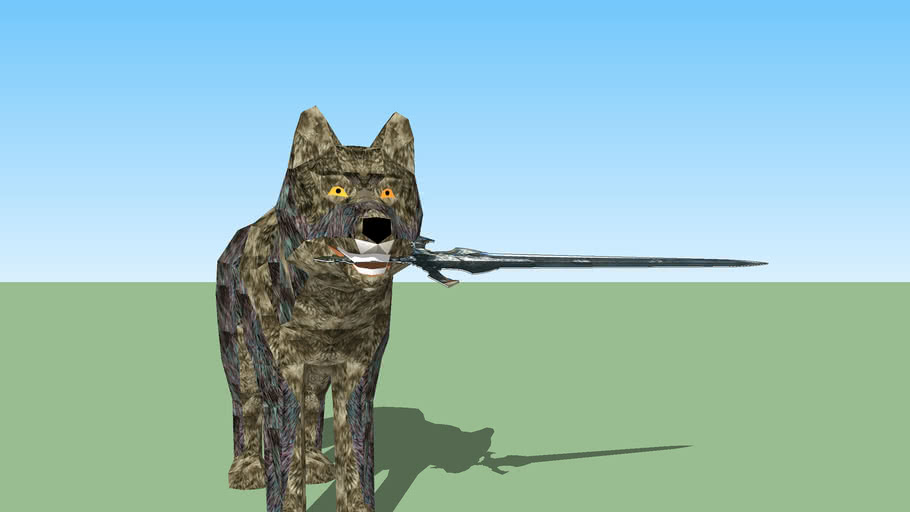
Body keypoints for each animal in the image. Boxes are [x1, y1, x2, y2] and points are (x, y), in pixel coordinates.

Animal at [216, 106, 422, 512]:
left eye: (388, 192)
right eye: (337, 190)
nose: (378, 225)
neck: (334, 302)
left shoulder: (357, 373)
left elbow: (355, 455)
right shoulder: (283, 374)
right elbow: (284, 458)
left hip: (315, 377)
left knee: (312, 413)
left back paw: (313, 461)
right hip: (241, 362)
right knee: (245, 410)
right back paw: (246, 469)